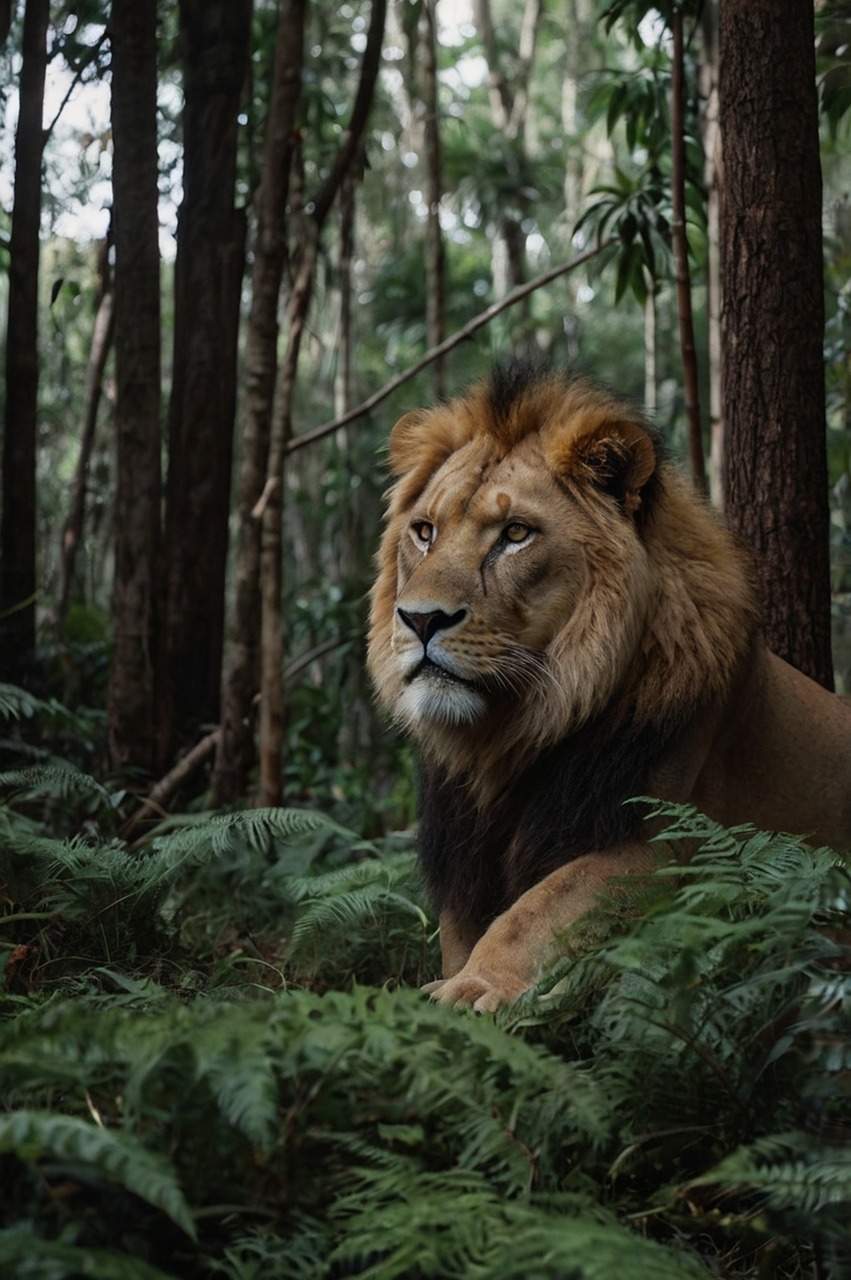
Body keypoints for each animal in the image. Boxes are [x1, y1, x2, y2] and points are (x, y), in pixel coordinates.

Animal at [367, 360, 851, 1012]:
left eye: (515, 534)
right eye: (424, 531)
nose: (419, 620)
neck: (509, 738)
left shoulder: (669, 845)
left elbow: (539, 906)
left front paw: (473, 986)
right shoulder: (467, 860)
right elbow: (462, 932)